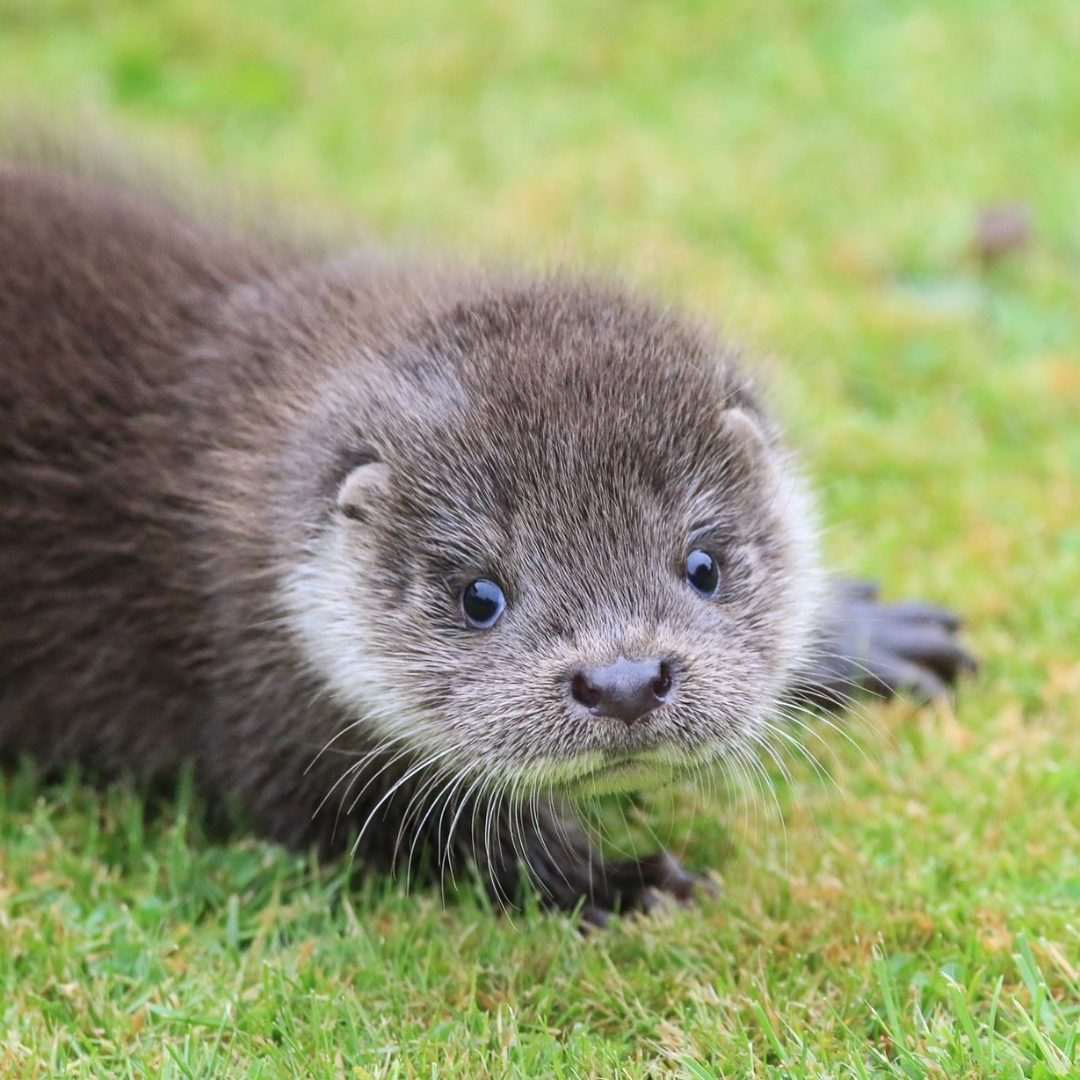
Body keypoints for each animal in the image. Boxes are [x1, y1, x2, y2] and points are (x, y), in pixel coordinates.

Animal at [0, 163, 973, 922]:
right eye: (480, 596)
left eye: (703, 566)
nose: (624, 682)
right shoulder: (256, 700)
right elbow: (393, 822)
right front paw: (616, 883)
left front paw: (854, 634)